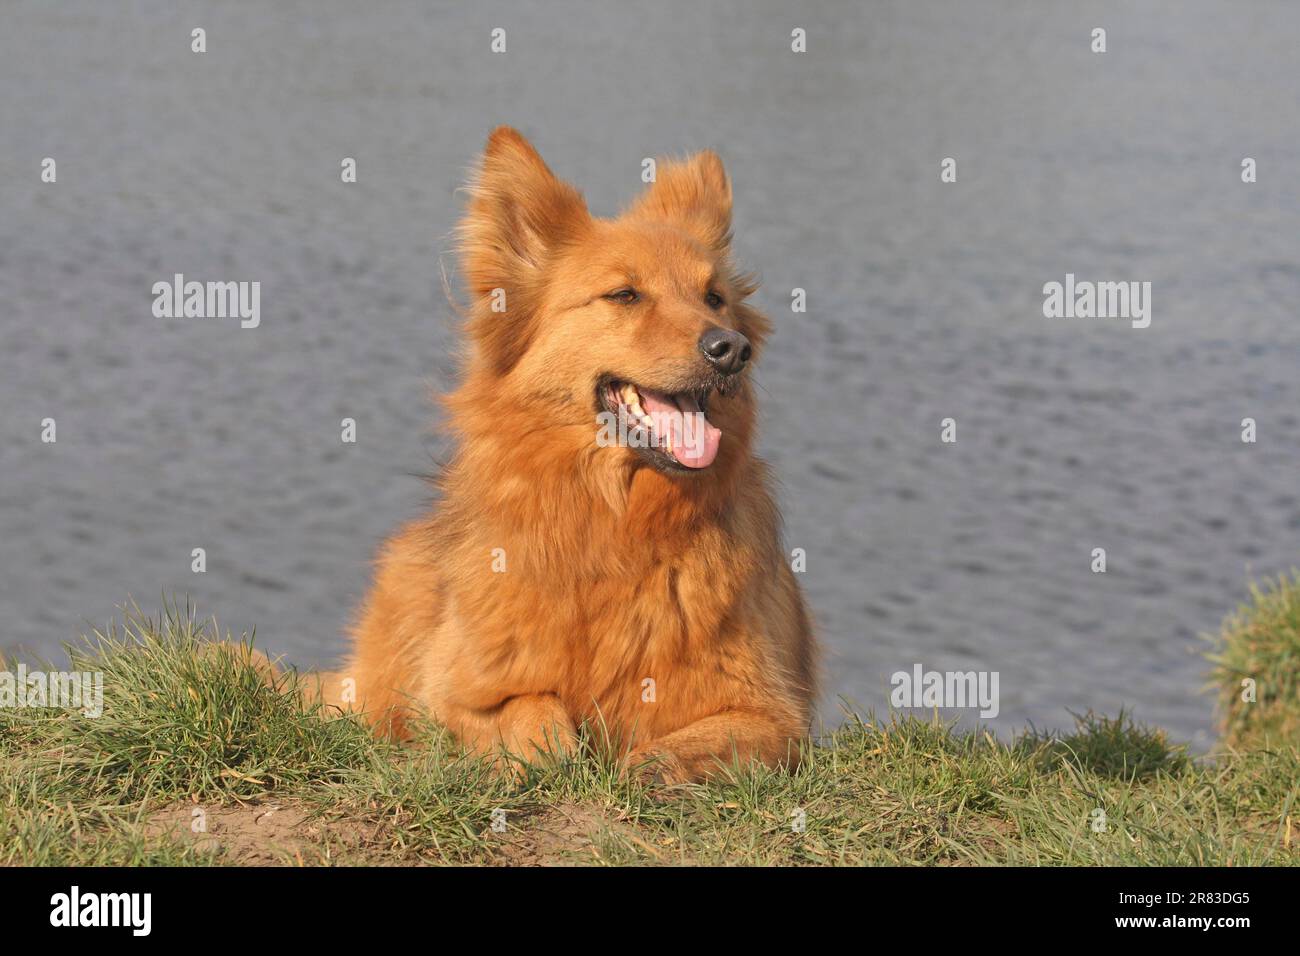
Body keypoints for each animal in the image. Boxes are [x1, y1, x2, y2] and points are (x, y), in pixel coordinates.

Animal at [316, 127, 816, 784]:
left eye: (715, 299)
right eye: (625, 295)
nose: (731, 348)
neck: (614, 530)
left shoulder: (776, 719)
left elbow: (678, 748)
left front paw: (637, 768)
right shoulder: (453, 693)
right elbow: (530, 711)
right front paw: (550, 751)